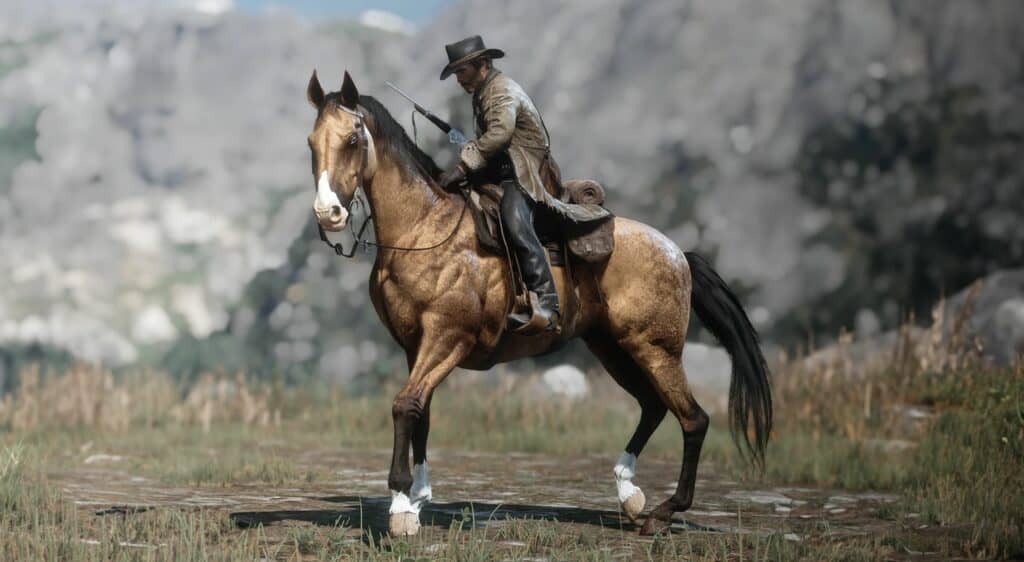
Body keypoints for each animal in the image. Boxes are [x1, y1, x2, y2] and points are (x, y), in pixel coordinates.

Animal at [305, 70, 772, 537]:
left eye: (352, 139)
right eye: (311, 143)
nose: (328, 214)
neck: (422, 228)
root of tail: (679, 254)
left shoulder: (446, 337)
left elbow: (405, 406)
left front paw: (402, 507)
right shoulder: (414, 344)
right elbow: (423, 413)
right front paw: (417, 500)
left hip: (656, 349)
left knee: (694, 419)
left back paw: (664, 510)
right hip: (613, 348)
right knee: (654, 407)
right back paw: (630, 494)